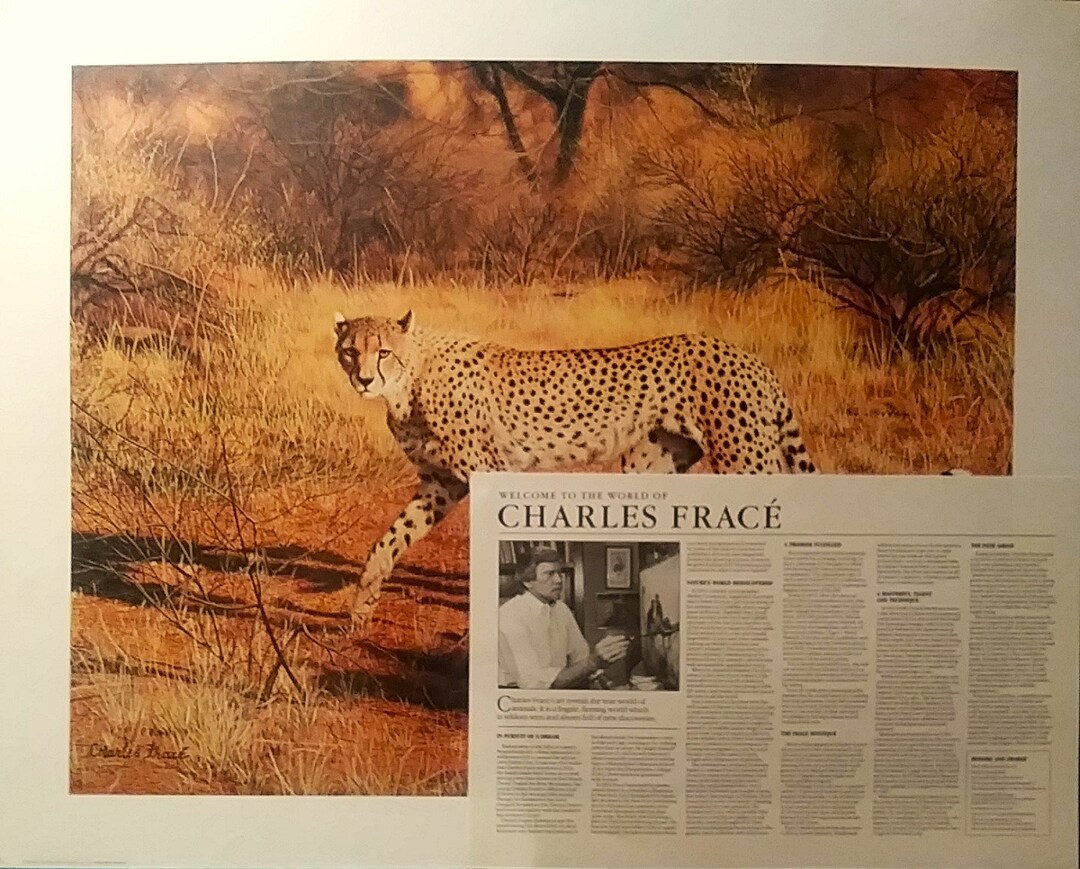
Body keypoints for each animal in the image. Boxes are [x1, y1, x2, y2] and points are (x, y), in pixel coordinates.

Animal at [333, 310, 815, 627]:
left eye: (384, 353)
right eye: (350, 352)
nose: (363, 379)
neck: (410, 380)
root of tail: (746, 355)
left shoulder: (484, 474)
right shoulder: (441, 484)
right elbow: (387, 541)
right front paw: (361, 607)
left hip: (746, 458)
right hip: (648, 462)